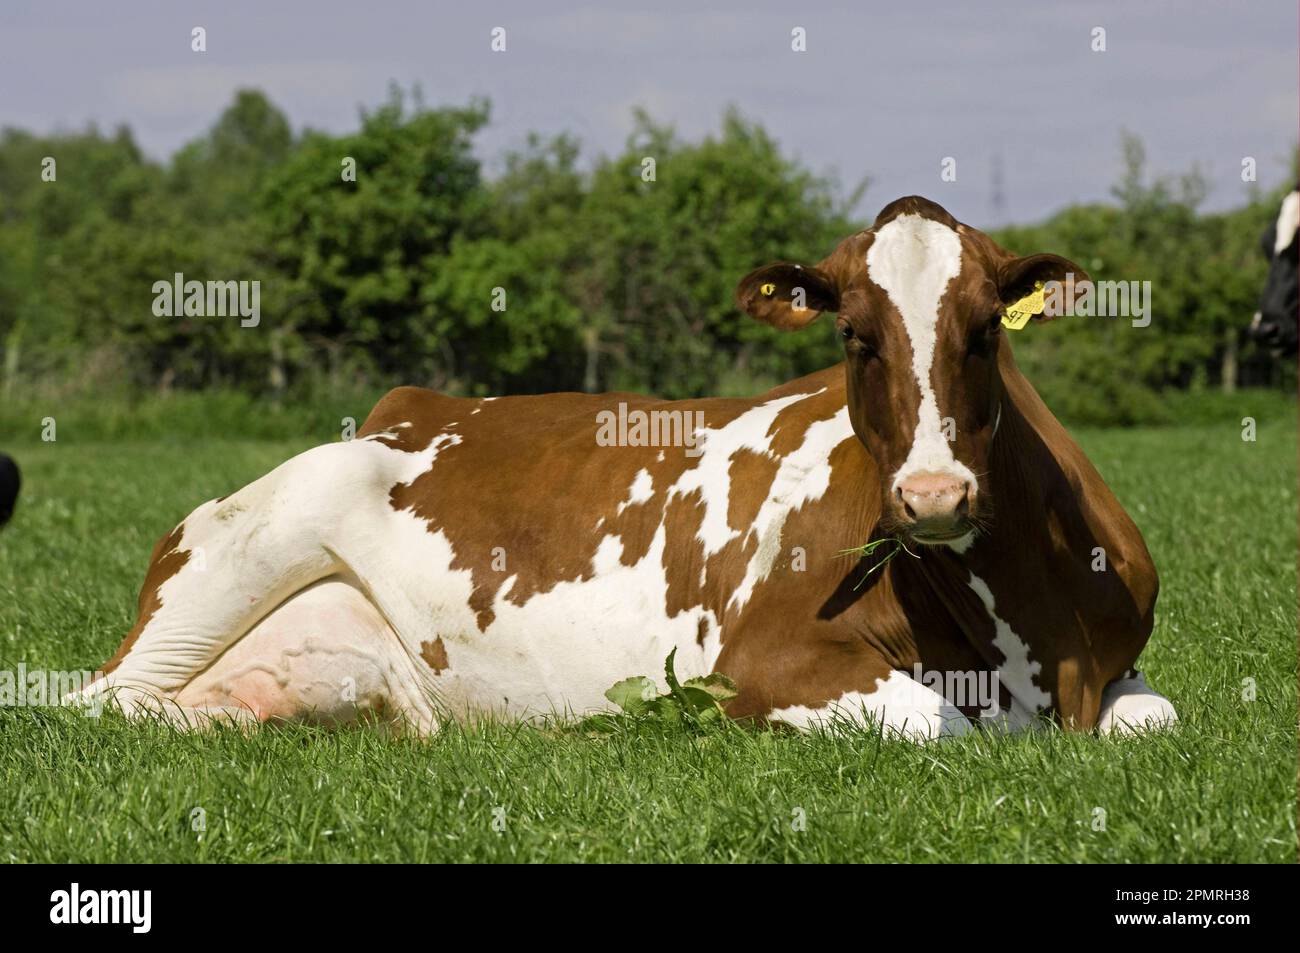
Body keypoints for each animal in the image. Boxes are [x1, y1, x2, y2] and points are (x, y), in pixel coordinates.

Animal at [72, 196, 1176, 740]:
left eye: (985, 329)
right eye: (854, 336)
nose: (934, 494)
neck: (1038, 648)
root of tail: (408, 406)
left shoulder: (1119, 669)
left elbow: (1154, 717)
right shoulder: (765, 663)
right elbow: (942, 726)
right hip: (247, 543)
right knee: (94, 702)